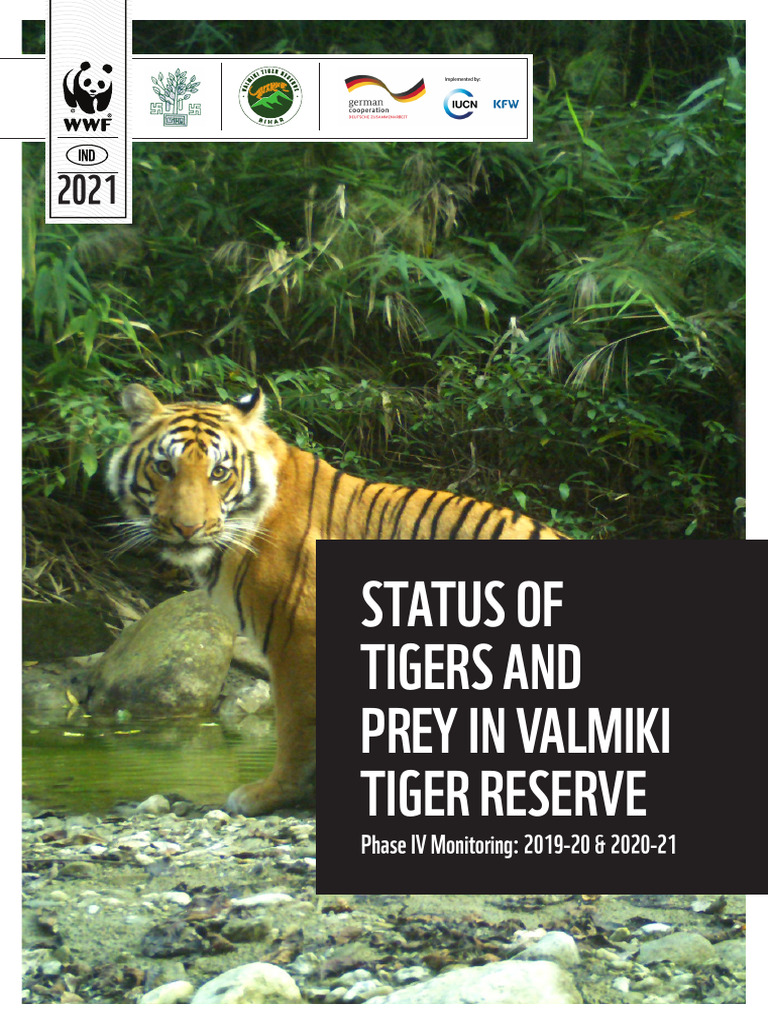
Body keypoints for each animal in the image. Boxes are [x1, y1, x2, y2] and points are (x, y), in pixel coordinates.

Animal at [107, 383, 568, 816]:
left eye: (219, 472)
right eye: (164, 467)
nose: (187, 528)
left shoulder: (298, 637)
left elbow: (293, 725)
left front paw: (270, 793)